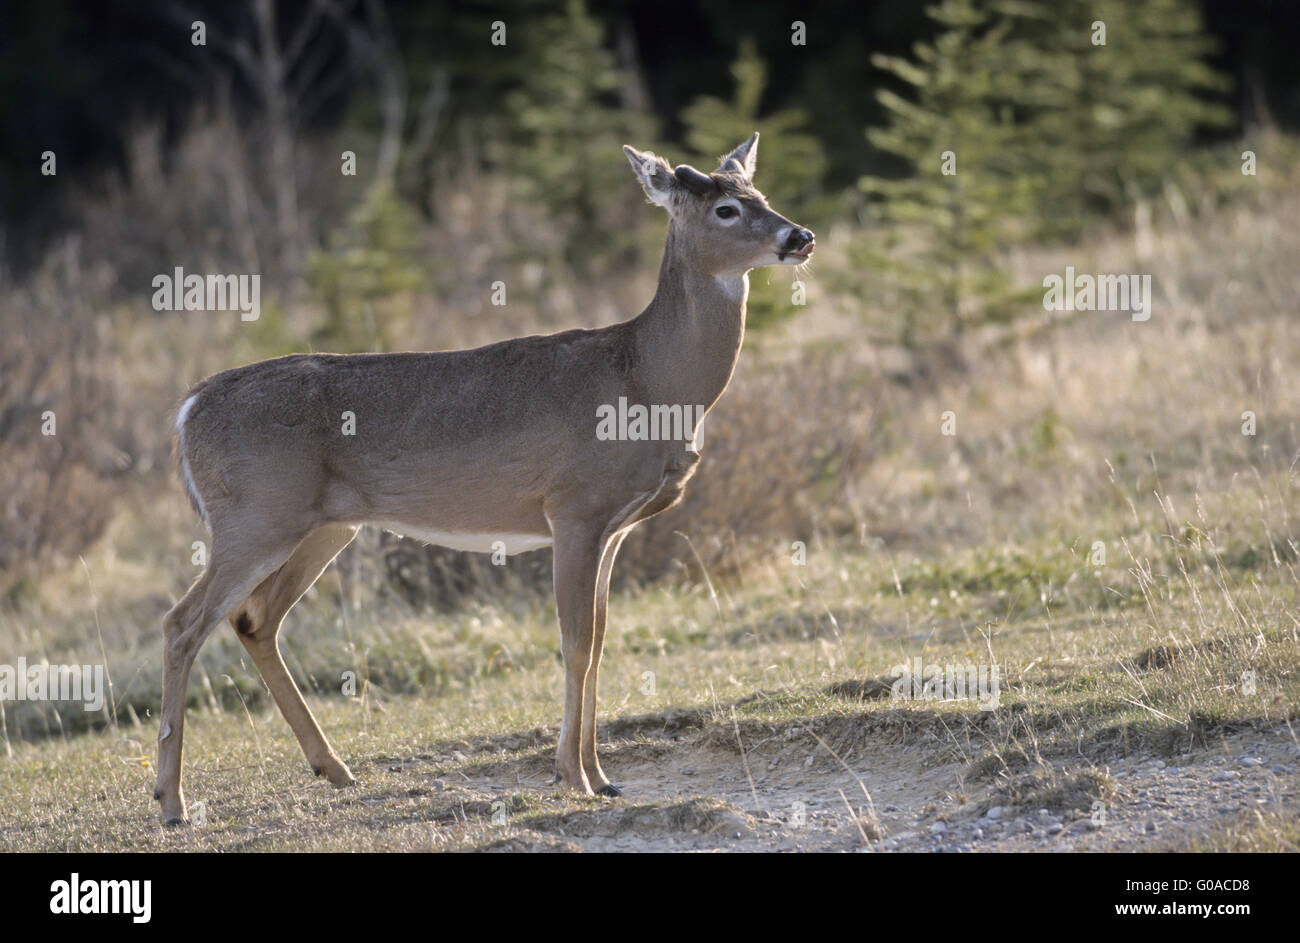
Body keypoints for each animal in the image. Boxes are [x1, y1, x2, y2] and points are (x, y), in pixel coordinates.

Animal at [154, 132, 814, 824]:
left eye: (760, 193)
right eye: (725, 211)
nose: (800, 236)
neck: (648, 381)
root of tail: (188, 407)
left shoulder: (613, 527)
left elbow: (601, 639)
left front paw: (602, 776)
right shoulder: (573, 507)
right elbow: (576, 642)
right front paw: (574, 776)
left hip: (324, 525)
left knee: (254, 619)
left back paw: (334, 770)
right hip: (255, 515)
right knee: (182, 623)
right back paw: (172, 801)